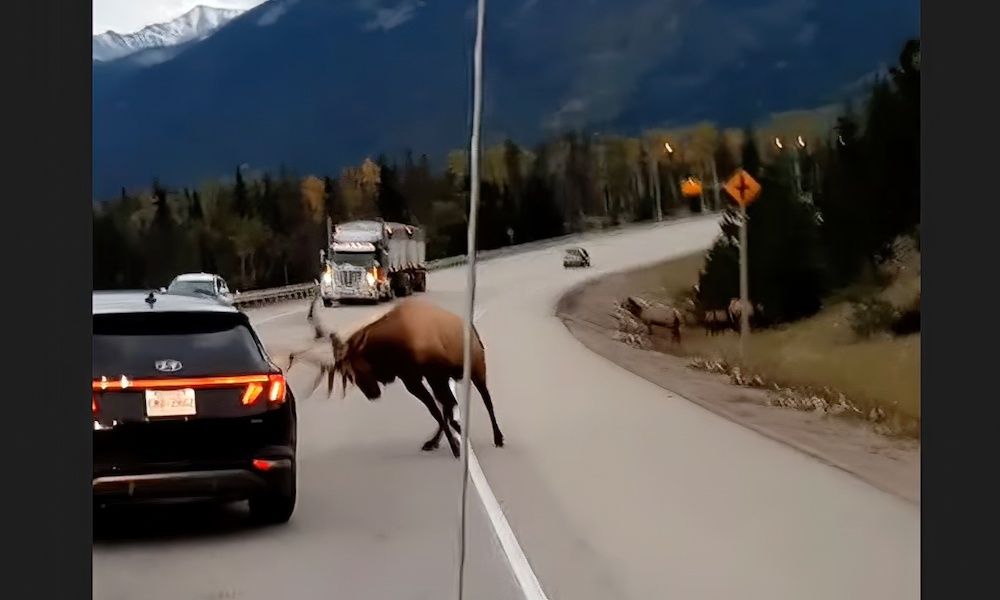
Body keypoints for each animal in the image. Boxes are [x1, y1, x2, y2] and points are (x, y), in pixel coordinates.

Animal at [287, 295, 504, 458]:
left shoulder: (432, 374)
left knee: (486, 400)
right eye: (346, 375)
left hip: (477, 367)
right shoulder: (410, 378)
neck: (393, 348)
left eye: (351, 370)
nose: (372, 394)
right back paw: (435, 441)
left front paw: (457, 444)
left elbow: (445, 409)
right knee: (448, 405)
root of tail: (474, 331)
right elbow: (438, 410)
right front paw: (453, 442)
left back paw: (498, 437)